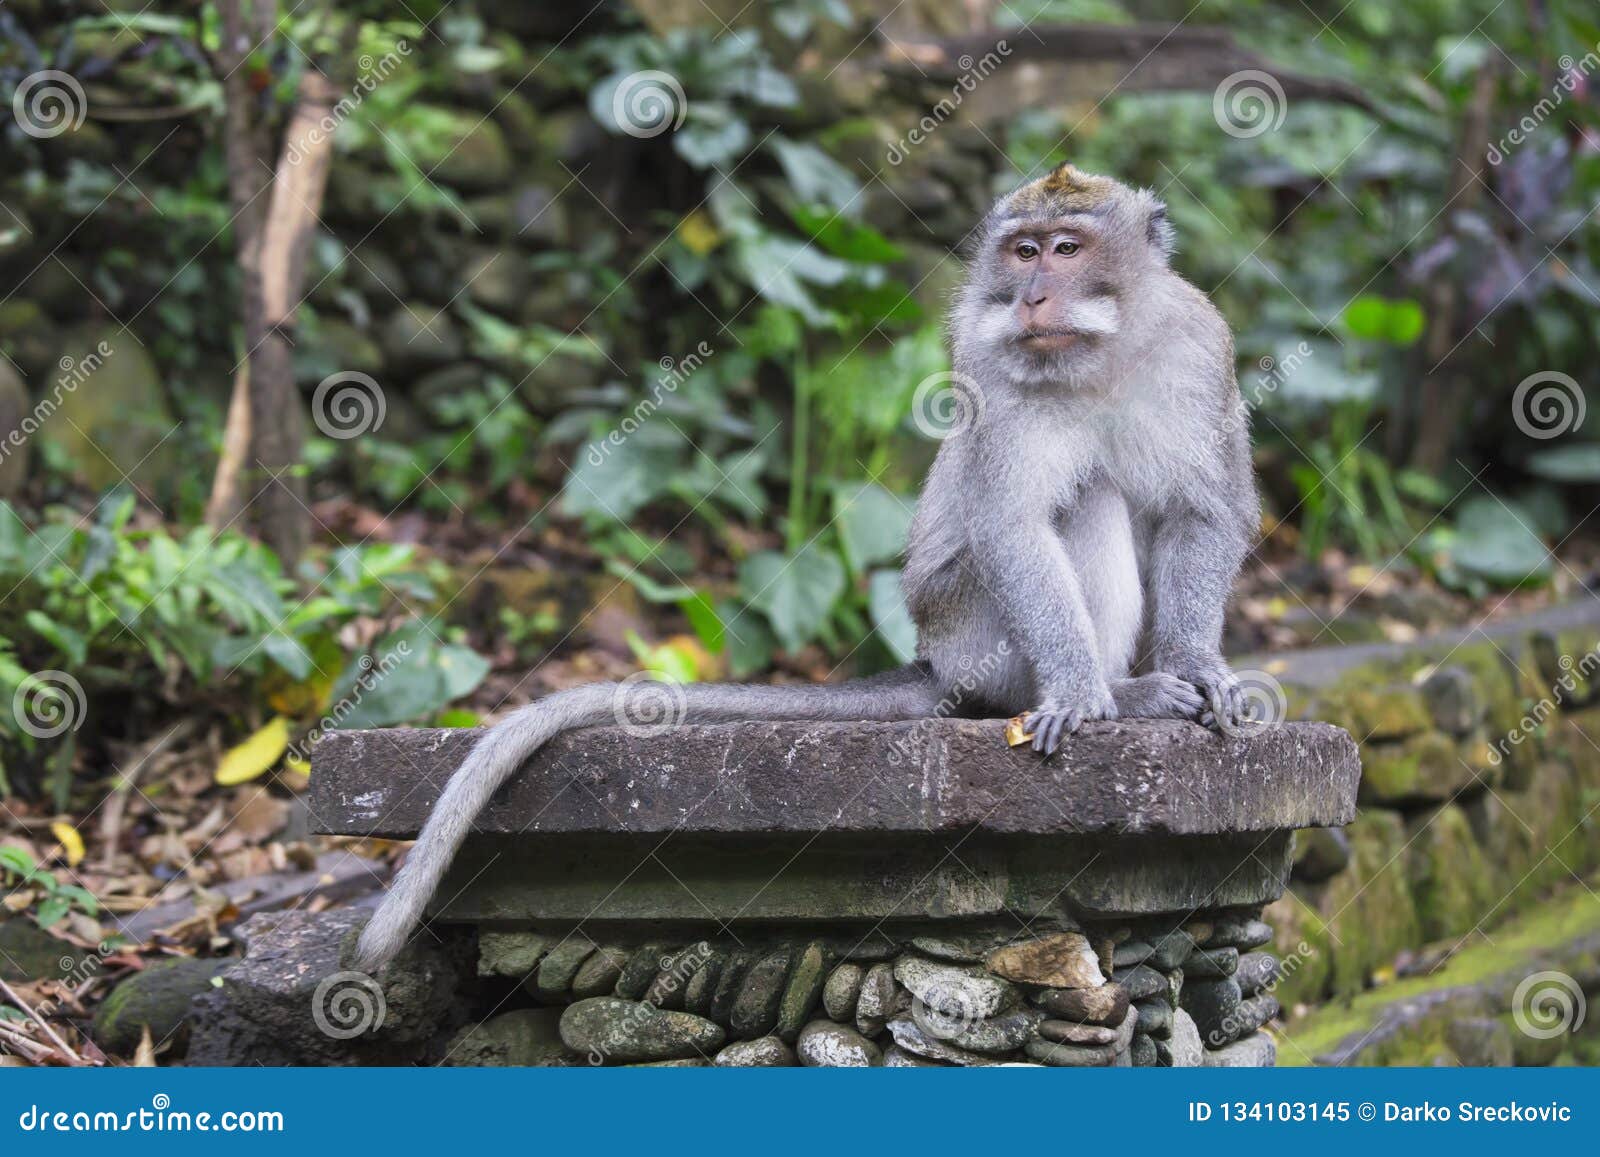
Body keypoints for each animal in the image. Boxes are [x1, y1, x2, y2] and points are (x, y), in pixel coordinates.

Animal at [353, 162, 1258, 971]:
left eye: (1068, 248)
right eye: (1024, 251)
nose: (1032, 294)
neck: (1098, 352)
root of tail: (937, 662)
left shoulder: (1202, 343)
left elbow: (1207, 510)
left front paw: (1199, 665)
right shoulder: (988, 362)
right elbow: (1015, 525)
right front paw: (1077, 690)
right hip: (979, 635)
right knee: (1091, 496)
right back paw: (1119, 696)